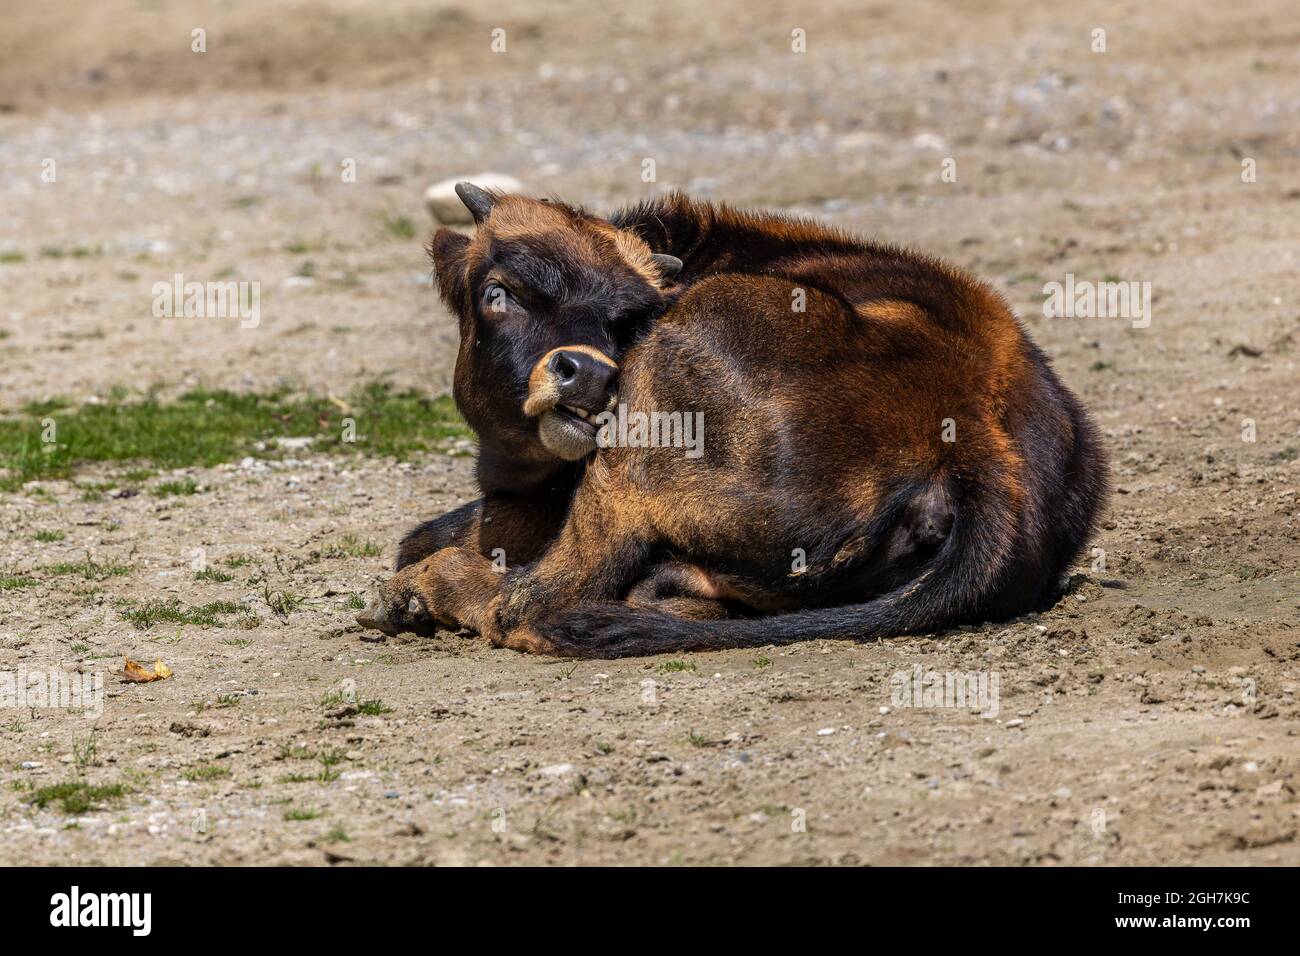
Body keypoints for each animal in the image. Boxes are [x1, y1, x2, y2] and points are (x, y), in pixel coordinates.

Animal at [357, 184, 1108, 657]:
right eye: (497, 292)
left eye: (630, 319)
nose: (588, 374)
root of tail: (978, 438)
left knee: (534, 601)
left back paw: (415, 596)